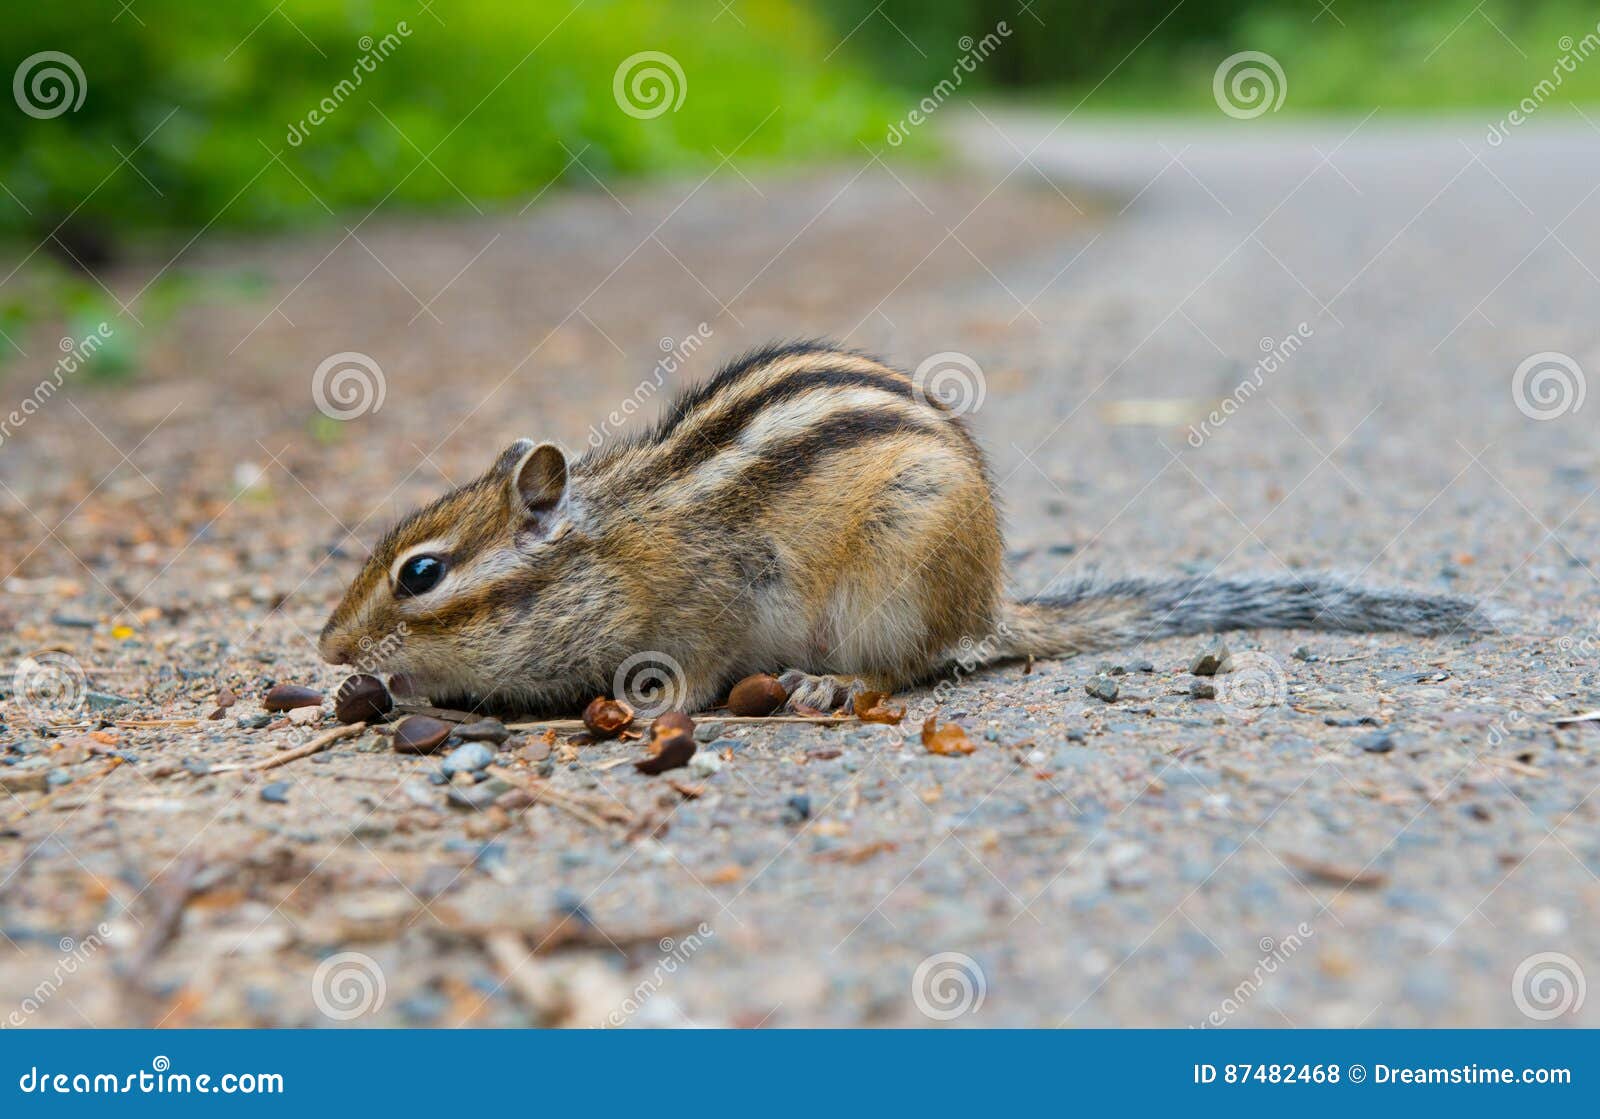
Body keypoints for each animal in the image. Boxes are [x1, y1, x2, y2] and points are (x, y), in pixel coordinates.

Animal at [318, 341, 1494, 714]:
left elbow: (685, 673)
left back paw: (828, 685)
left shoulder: (702, 607)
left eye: (421, 574)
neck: (609, 545)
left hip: (890, 585)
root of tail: (988, 602)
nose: (326, 647)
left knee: (912, 668)